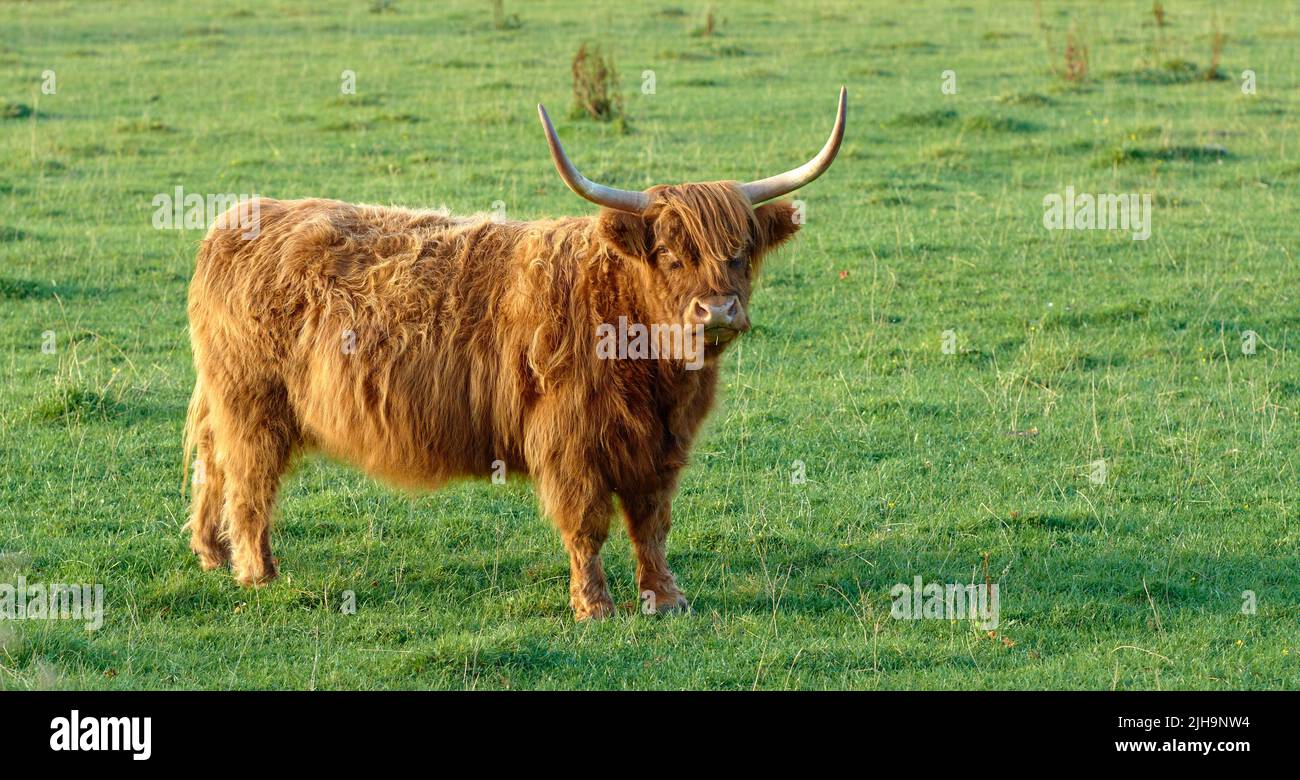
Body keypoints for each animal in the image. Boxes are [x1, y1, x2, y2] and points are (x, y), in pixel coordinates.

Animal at [182, 89, 846, 619]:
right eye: (670, 256)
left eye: (741, 252)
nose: (718, 311)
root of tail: (239, 218)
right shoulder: (570, 442)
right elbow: (588, 524)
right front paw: (595, 606)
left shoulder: (660, 446)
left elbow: (651, 522)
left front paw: (666, 597)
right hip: (252, 403)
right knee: (249, 479)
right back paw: (257, 572)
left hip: (229, 398)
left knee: (212, 462)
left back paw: (211, 553)